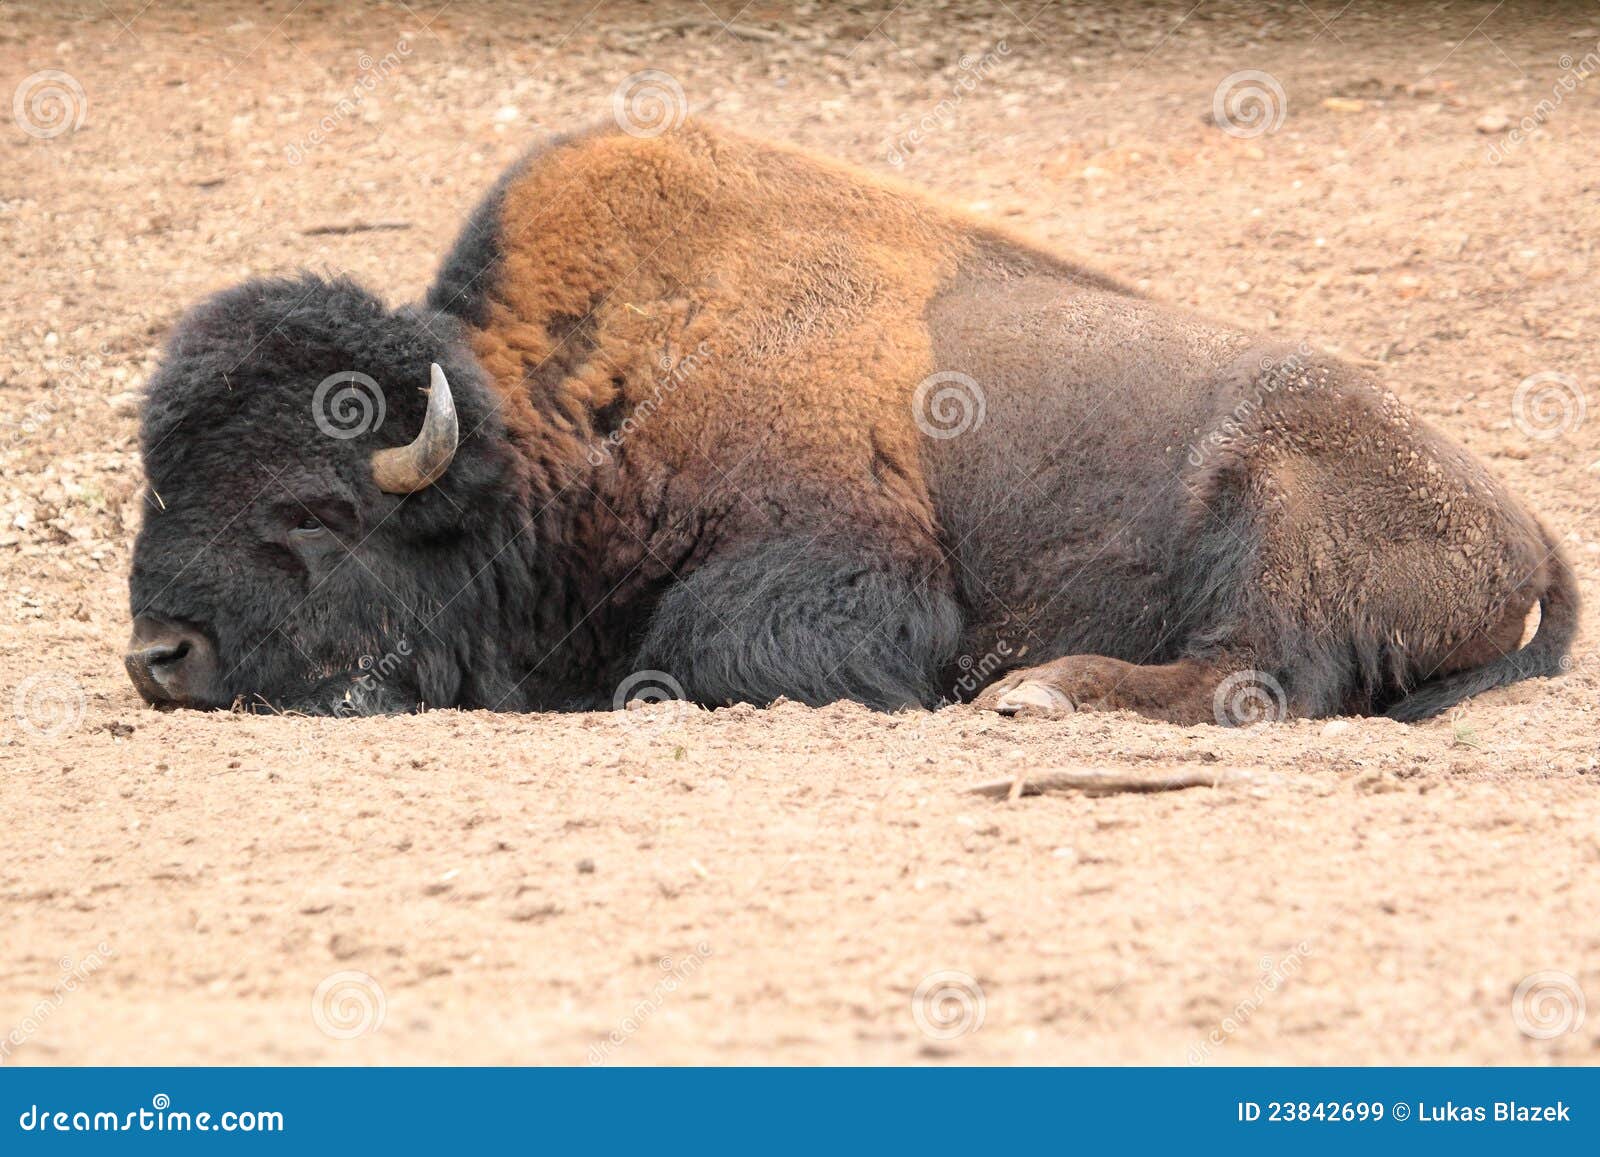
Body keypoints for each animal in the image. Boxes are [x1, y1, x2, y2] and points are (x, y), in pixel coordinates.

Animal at [125, 121, 1576, 723]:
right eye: (159, 488)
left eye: (315, 514)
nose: (159, 655)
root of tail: (1521, 523)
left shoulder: (846, 569)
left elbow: (707, 647)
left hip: (1270, 503)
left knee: (1253, 676)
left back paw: (1037, 694)